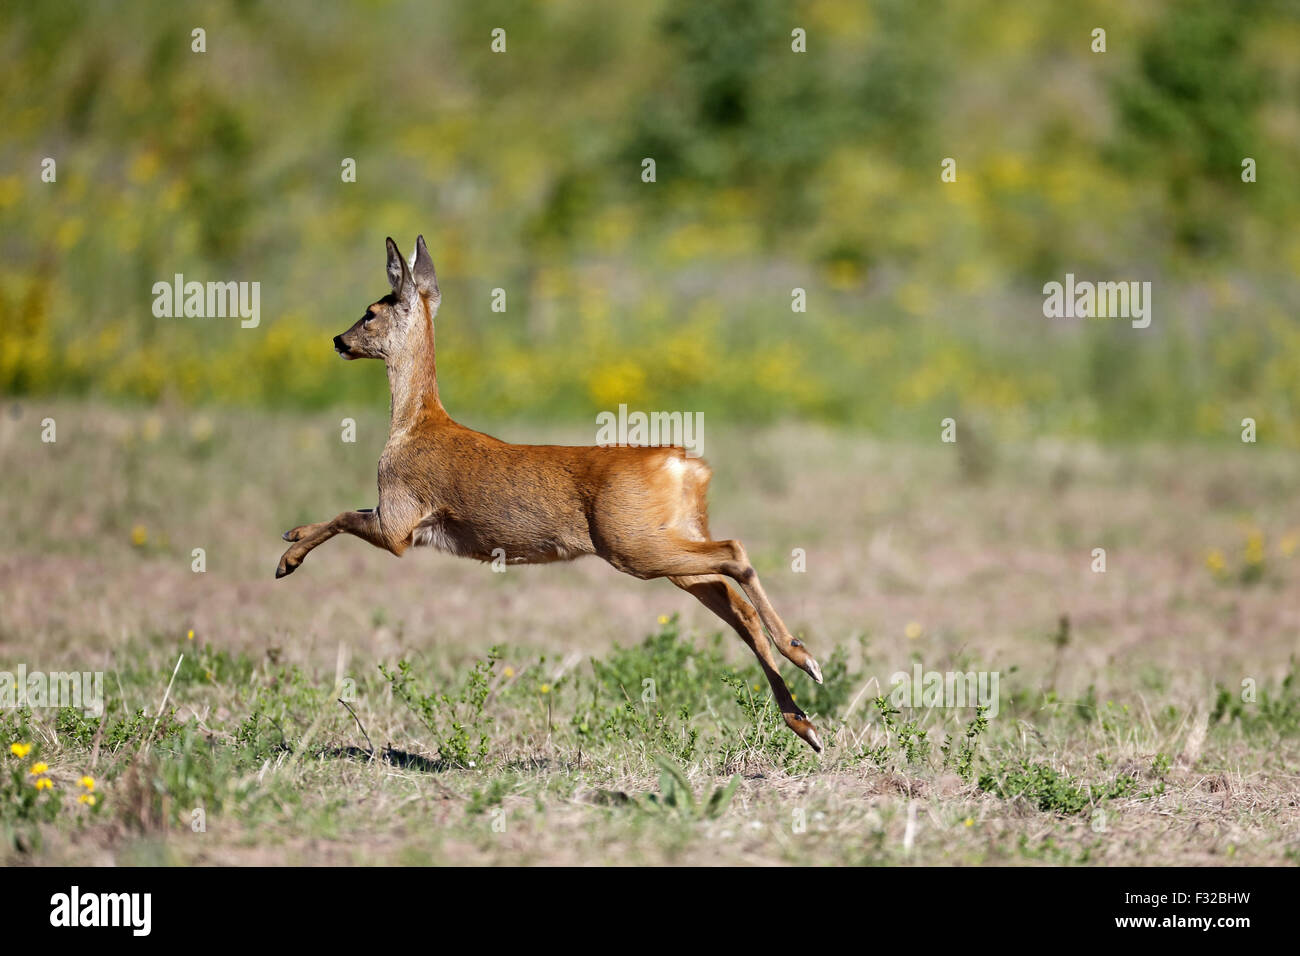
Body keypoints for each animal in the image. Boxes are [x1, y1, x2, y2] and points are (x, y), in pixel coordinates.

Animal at [275, 237, 826, 752]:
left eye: (370, 313)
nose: (338, 339)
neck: (414, 425)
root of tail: (685, 465)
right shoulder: (400, 518)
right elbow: (346, 511)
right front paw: (291, 539)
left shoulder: (400, 520)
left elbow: (345, 514)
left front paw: (287, 559)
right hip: (665, 543)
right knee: (737, 604)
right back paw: (806, 722)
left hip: (631, 544)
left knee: (735, 553)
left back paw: (805, 659)